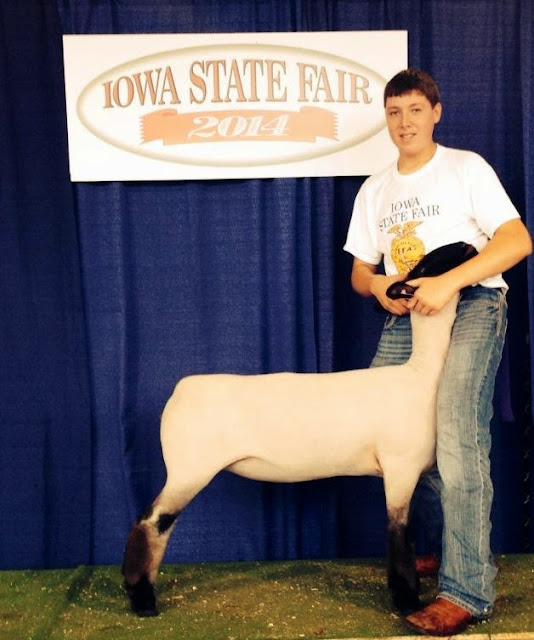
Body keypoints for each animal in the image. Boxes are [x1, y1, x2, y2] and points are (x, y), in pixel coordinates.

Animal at [122, 243, 475, 619]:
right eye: (432, 261)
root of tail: (181, 390)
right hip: (189, 469)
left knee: (158, 525)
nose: (468, 245)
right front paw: (407, 601)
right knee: (151, 522)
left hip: (187, 470)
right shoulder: (400, 468)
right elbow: (400, 533)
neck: (422, 374)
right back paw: (143, 601)